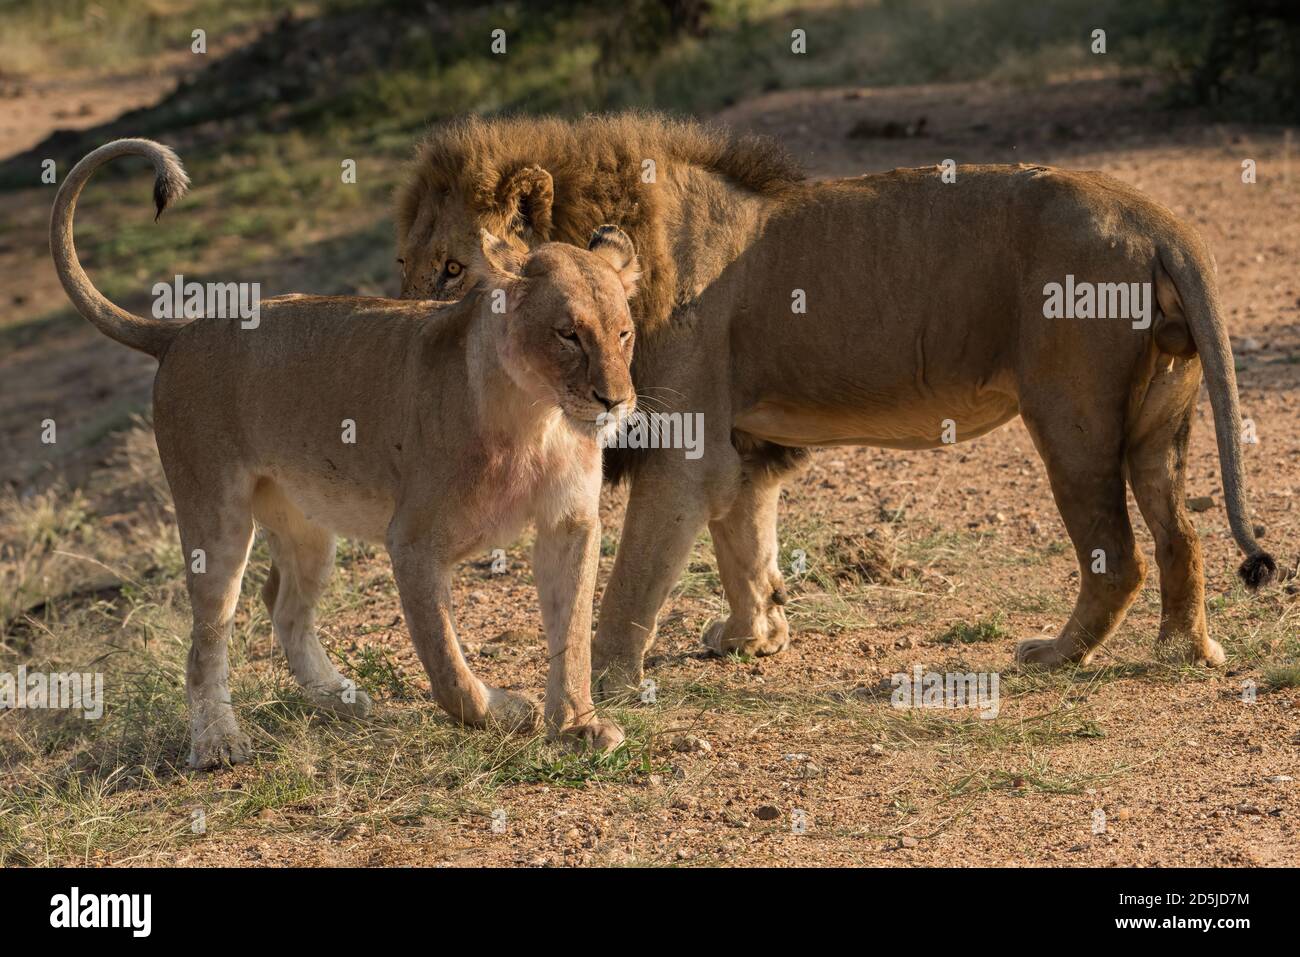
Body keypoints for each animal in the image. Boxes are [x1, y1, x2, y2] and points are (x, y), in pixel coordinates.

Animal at [51, 138, 638, 767]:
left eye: (623, 333)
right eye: (568, 334)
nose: (615, 400)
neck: (538, 417)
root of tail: (180, 333)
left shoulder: (570, 523)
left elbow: (572, 633)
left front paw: (578, 725)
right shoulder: (412, 541)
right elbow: (448, 670)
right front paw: (505, 711)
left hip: (306, 523)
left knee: (281, 603)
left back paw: (336, 696)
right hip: (216, 517)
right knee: (206, 637)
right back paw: (217, 742)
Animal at [392, 114, 1276, 697]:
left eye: (452, 269)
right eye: (406, 262)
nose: (408, 331)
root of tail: (1155, 218)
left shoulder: (681, 441)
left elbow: (635, 574)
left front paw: (604, 676)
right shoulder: (740, 445)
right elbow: (745, 544)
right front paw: (753, 635)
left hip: (1073, 422)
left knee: (1118, 556)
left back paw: (1057, 654)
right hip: (1157, 423)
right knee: (1182, 536)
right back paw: (1184, 650)